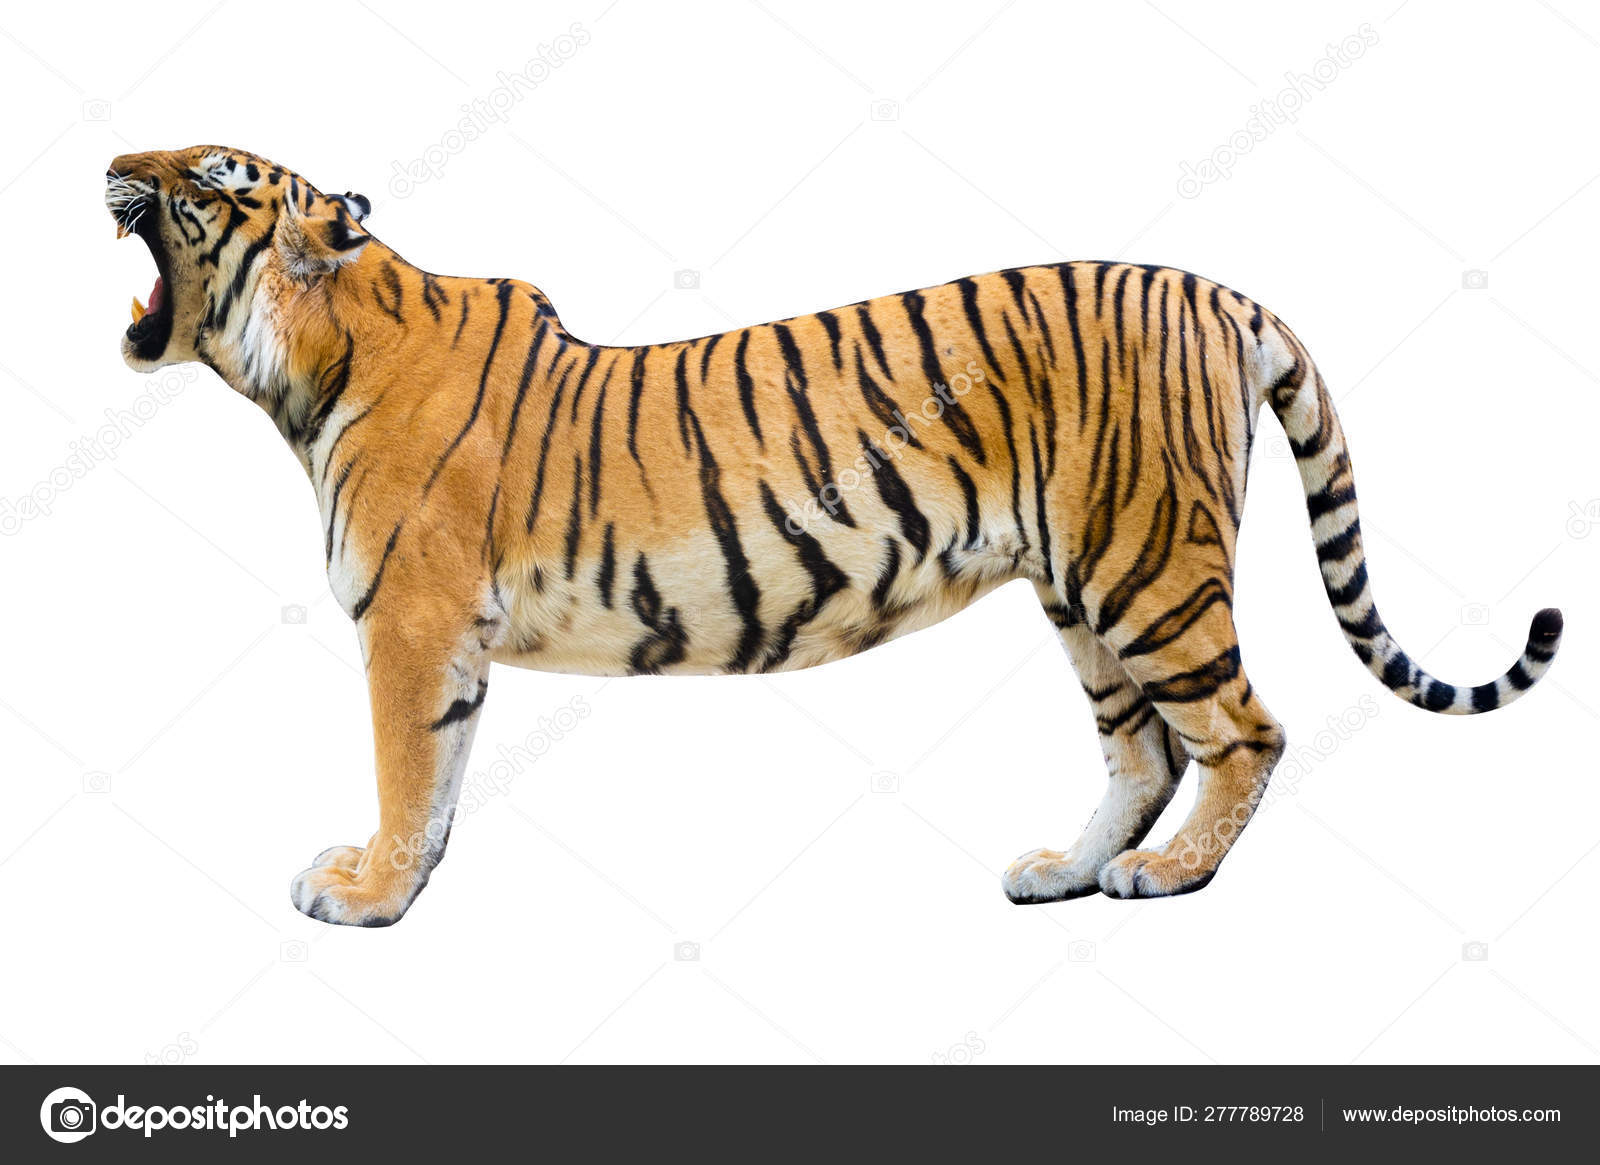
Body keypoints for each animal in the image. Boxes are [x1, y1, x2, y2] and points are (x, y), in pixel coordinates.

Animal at [104, 145, 1562, 927]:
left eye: (211, 176)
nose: (114, 167)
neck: (307, 358)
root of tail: (1218, 290)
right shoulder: (440, 641)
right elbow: (443, 778)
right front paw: (393, 885)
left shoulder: (409, 624)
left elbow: (408, 771)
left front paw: (362, 896)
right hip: (1082, 586)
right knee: (1143, 747)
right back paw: (1068, 871)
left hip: (1150, 571)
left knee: (1247, 730)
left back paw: (1165, 877)